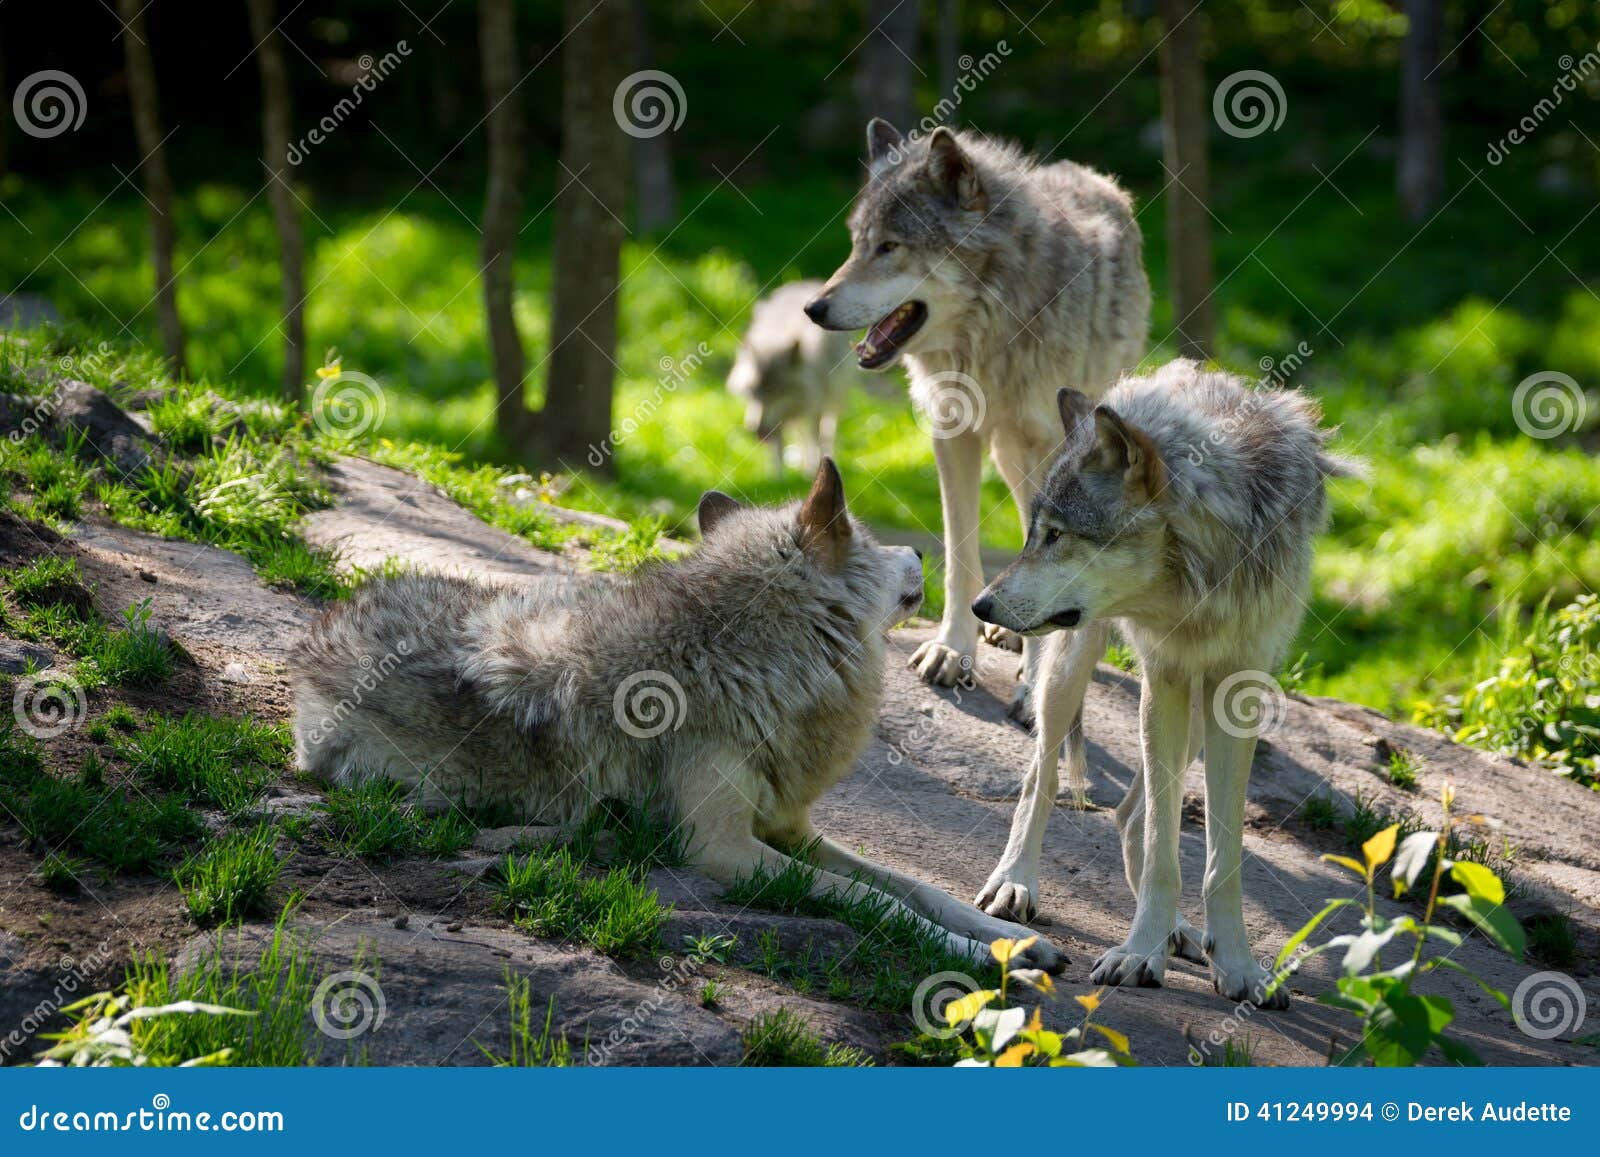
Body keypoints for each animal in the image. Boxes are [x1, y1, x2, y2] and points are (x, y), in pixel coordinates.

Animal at [293, 459, 1065, 971]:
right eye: (870, 539)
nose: (921, 550)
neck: (740, 657)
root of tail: (322, 630)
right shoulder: (725, 849)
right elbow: (879, 903)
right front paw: (990, 959)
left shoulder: (792, 829)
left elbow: (920, 888)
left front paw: (1019, 941)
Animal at [726, 280, 855, 473]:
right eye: (753, 393)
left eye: (777, 393)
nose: (756, 429)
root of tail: (804, 282)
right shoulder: (779, 421)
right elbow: (778, 452)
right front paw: (777, 477)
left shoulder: (815, 407)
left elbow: (816, 439)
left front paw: (814, 469)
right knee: (800, 433)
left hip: (834, 401)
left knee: (827, 431)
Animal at [806, 121, 1149, 726]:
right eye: (856, 244)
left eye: (890, 247)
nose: (814, 309)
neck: (992, 336)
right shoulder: (951, 435)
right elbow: (960, 553)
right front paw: (953, 650)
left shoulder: (1049, 449)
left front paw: (1033, 686)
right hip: (1008, 456)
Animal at [970, 360, 1358, 1006]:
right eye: (1033, 534)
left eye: (1057, 535)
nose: (980, 605)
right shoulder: (1165, 675)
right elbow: (1162, 849)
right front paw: (1137, 953)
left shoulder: (1234, 687)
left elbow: (1220, 857)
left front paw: (1239, 966)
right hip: (1072, 668)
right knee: (1042, 779)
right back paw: (1015, 883)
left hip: (1202, 712)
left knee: (1130, 815)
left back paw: (1181, 932)